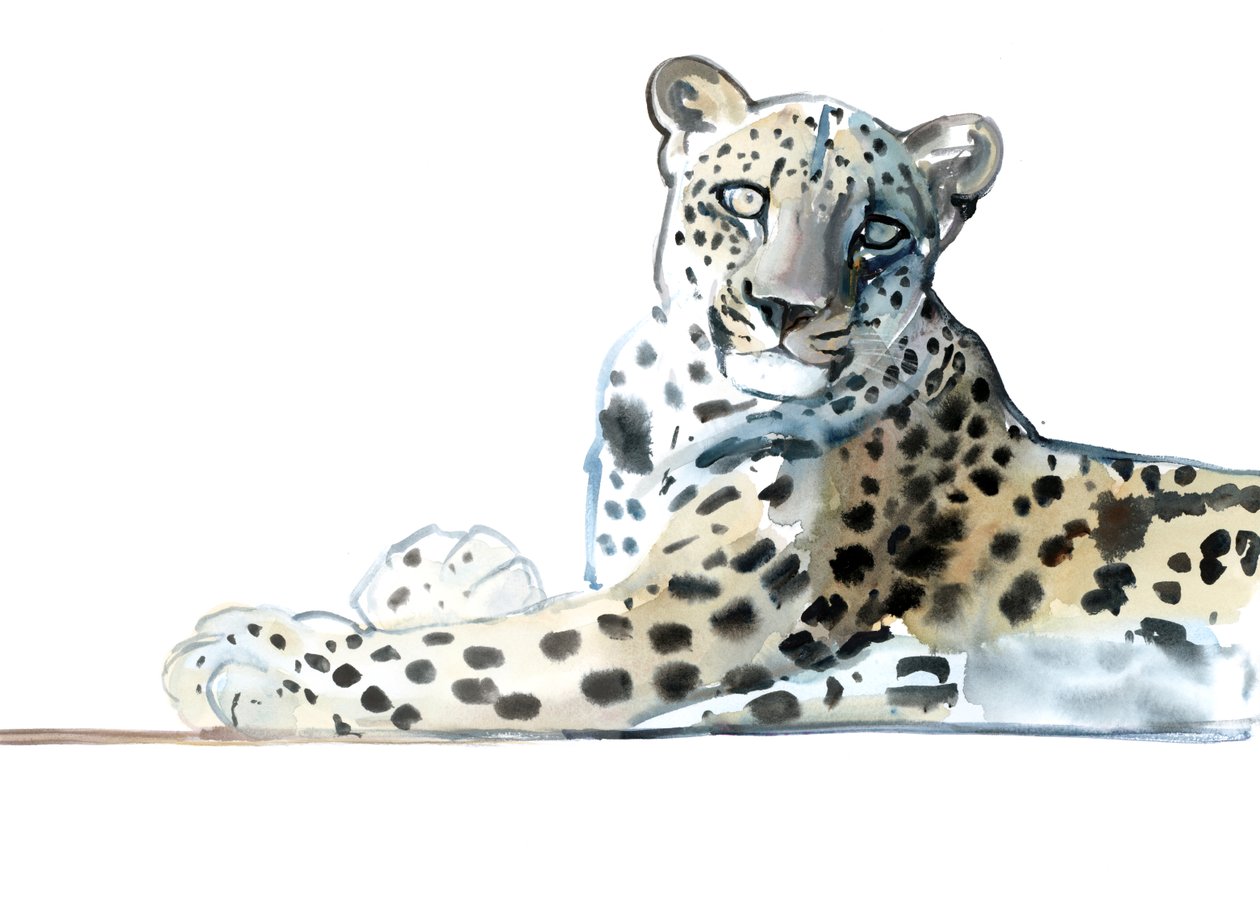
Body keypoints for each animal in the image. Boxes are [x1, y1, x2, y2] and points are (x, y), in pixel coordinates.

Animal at [164, 57, 1260, 740]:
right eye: (744, 200)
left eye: (879, 232)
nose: (787, 307)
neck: (670, 404)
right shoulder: (633, 575)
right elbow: (493, 613)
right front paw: (443, 569)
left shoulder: (675, 616)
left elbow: (462, 663)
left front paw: (250, 662)